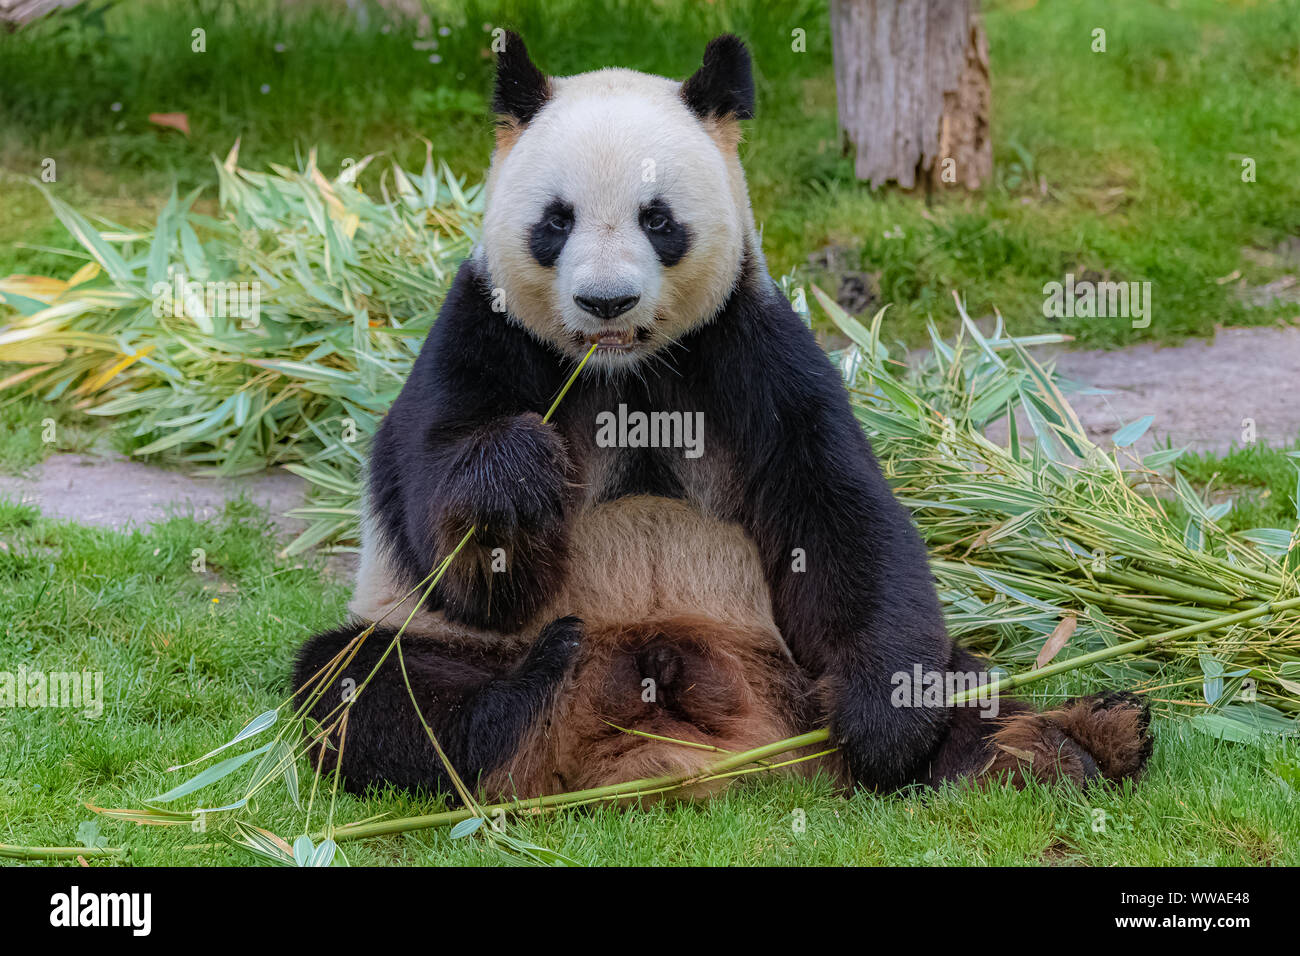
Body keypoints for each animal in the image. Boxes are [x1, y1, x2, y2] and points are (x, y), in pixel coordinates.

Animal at [293, 32, 1153, 801]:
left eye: (658, 219)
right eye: (557, 220)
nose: (606, 302)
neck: (622, 370)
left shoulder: (747, 348)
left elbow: (840, 516)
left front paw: (882, 728)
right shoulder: (484, 336)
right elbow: (450, 540)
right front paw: (520, 468)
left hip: (794, 662)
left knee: (958, 678)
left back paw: (1069, 743)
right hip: (436, 647)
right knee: (365, 688)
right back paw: (534, 690)